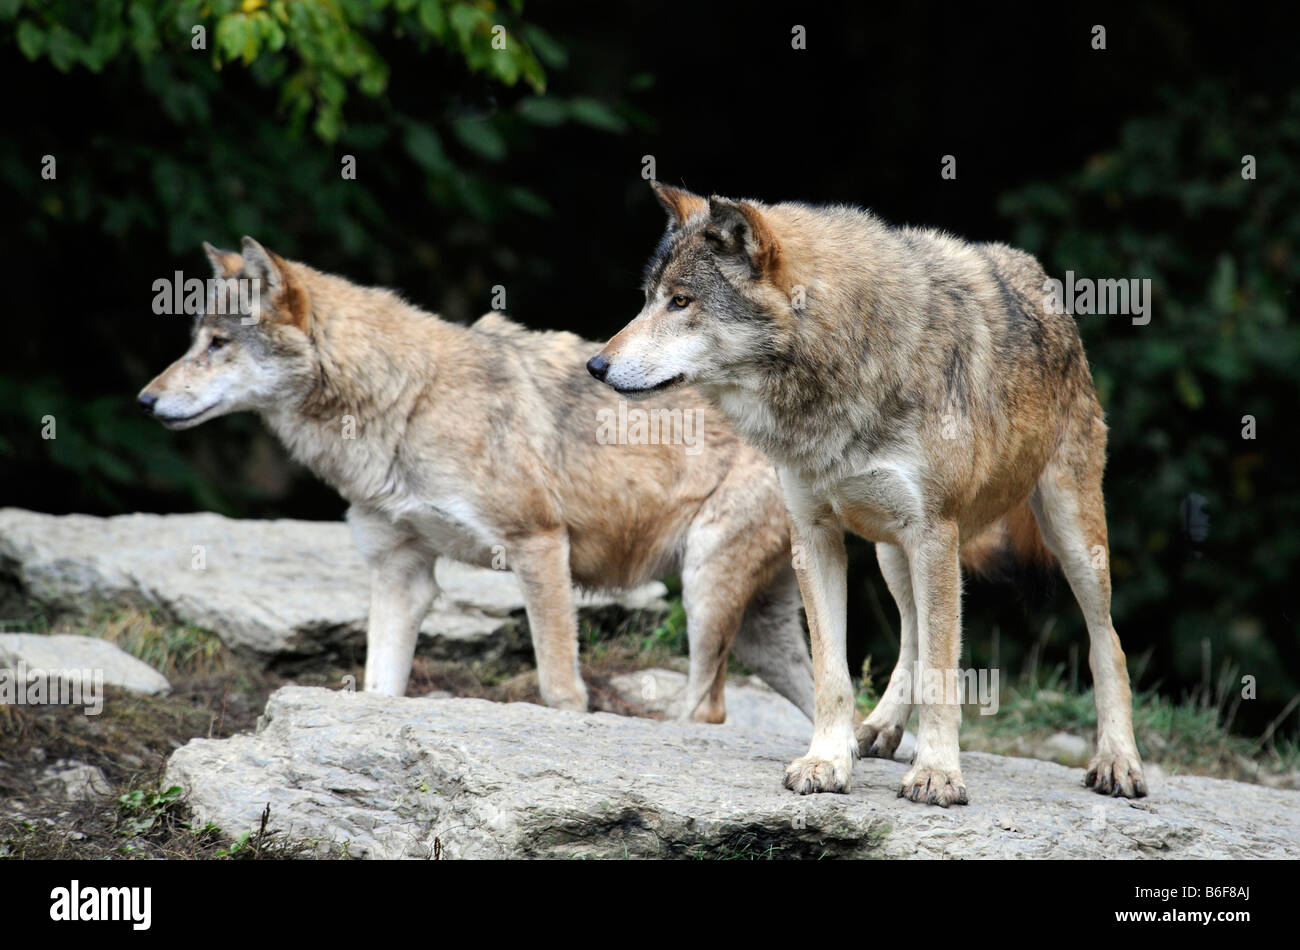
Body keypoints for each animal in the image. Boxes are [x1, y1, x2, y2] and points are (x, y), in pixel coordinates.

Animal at [138, 237, 815, 723]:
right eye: (195, 342)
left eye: (217, 344)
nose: (144, 400)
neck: (408, 402)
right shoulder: (400, 572)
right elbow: (381, 686)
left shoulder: (539, 544)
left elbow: (559, 686)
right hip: (761, 633)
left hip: (705, 590)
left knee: (709, 709)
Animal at [589, 182, 1147, 805]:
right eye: (647, 299)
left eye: (681, 302)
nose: (596, 364)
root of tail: (1041, 279)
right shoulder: (816, 537)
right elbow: (833, 673)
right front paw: (828, 761)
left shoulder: (933, 533)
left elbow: (943, 673)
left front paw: (937, 773)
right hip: (891, 552)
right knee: (912, 636)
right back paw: (878, 729)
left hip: (1068, 539)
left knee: (1107, 643)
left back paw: (1118, 761)